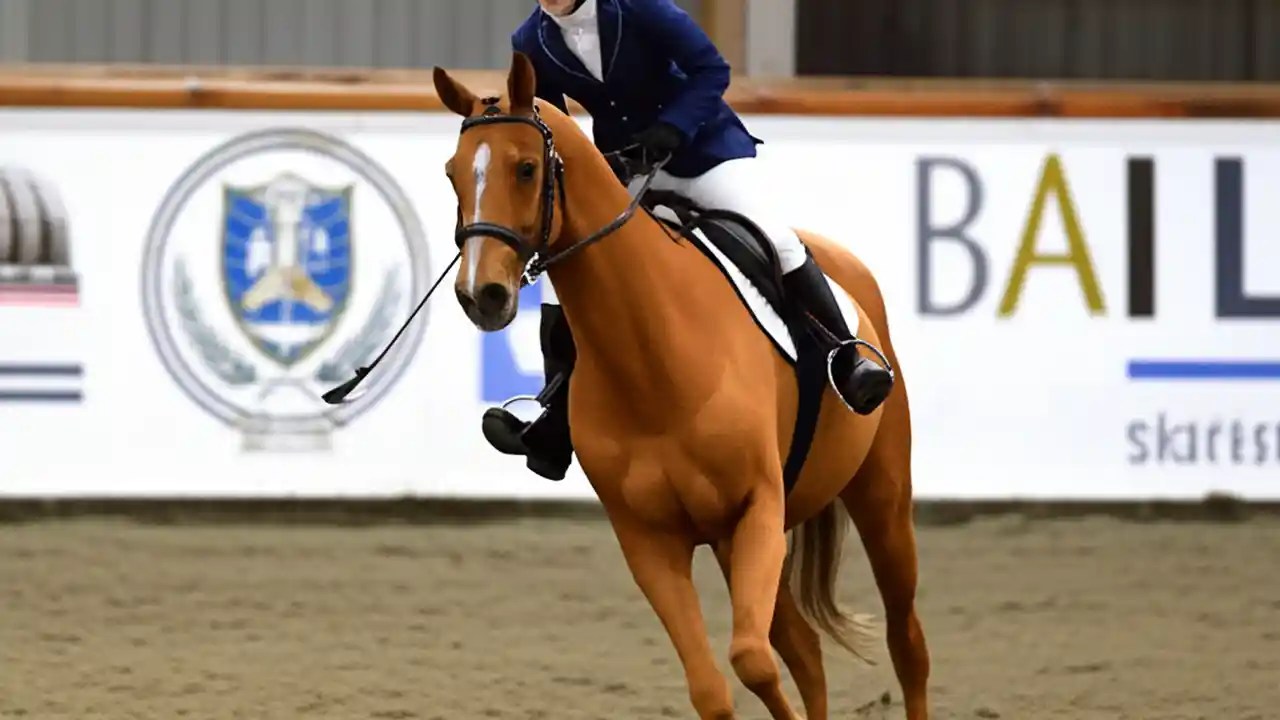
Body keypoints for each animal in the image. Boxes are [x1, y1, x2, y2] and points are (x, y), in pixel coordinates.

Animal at [434, 53, 930, 720]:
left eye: (526, 167)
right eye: (453, 174)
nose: (480, 295)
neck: (654, 365)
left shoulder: (758, 507)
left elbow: (752, 661)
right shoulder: (651, 543)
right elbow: (718, 685)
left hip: (881, 497)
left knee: (906, 641)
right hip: (730, 540)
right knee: (802, 648)